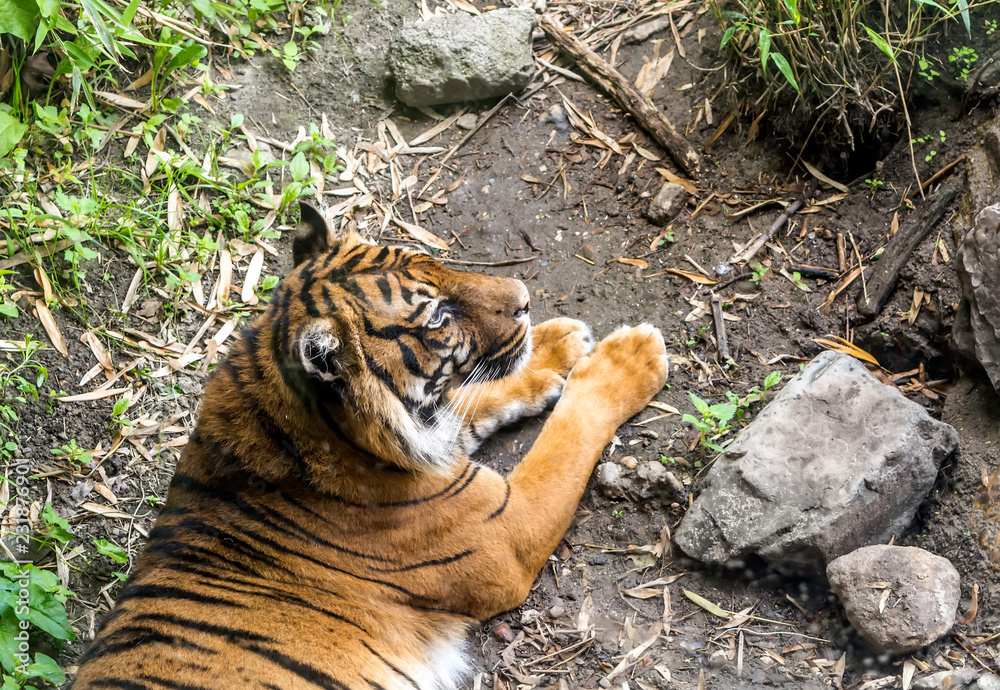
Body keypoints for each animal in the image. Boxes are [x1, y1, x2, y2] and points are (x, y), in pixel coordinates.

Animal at [71, 202, 669, 690]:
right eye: (437, 316)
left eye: (437, 262)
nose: (525, 300)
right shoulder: (507, 530)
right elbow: (566, 436)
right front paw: (629, 357)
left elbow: (477, 396)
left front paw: (558, 343)